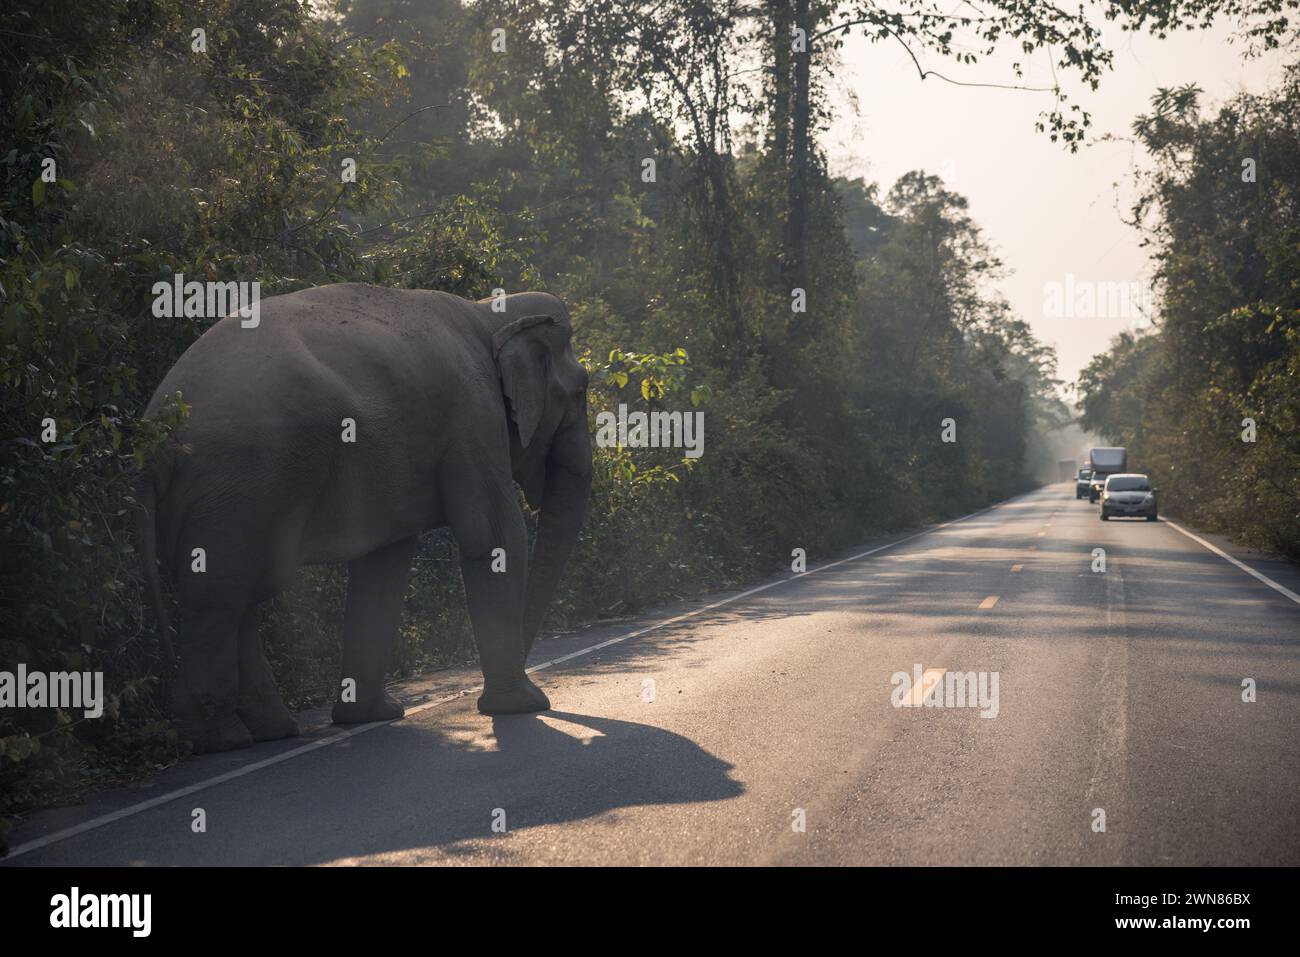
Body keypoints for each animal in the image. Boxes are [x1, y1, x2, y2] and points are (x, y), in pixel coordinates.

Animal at [136, 283, 592, 754]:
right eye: (582, 391)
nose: (536, 675)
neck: (487, 313)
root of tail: (157, 436)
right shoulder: (473, 414)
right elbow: (492, 535)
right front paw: (523, 706)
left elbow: (384, 563)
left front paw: (373, 715)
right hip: (241, 481)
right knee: (222, 596)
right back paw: (222, 740)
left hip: (223, 495)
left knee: (238, 593)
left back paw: (269, 730)